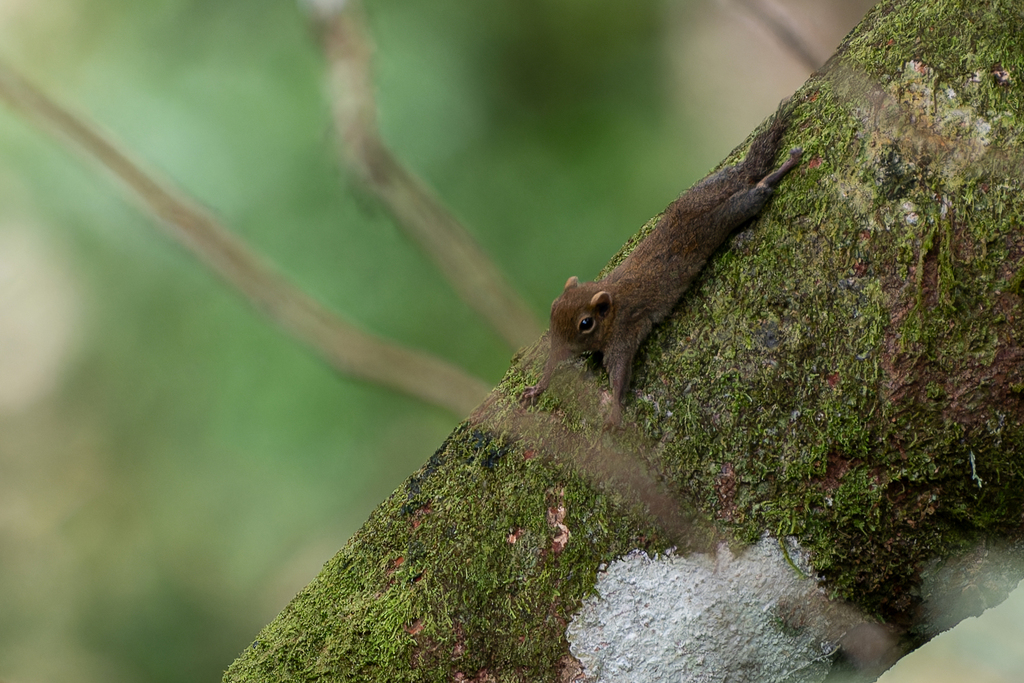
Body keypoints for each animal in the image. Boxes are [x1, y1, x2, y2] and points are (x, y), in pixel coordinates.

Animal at [521, 110, 802, 426]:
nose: (558, 344)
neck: (612, 301)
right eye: (554, 307)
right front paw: (539, 386)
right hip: (707, 187)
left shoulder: (623, 335)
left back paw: (785, 166)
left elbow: (619, 375)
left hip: (721, 219)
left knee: (755, 195)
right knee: (742, 175)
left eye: (585, 324)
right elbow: (555, 366)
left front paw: (614, 413)